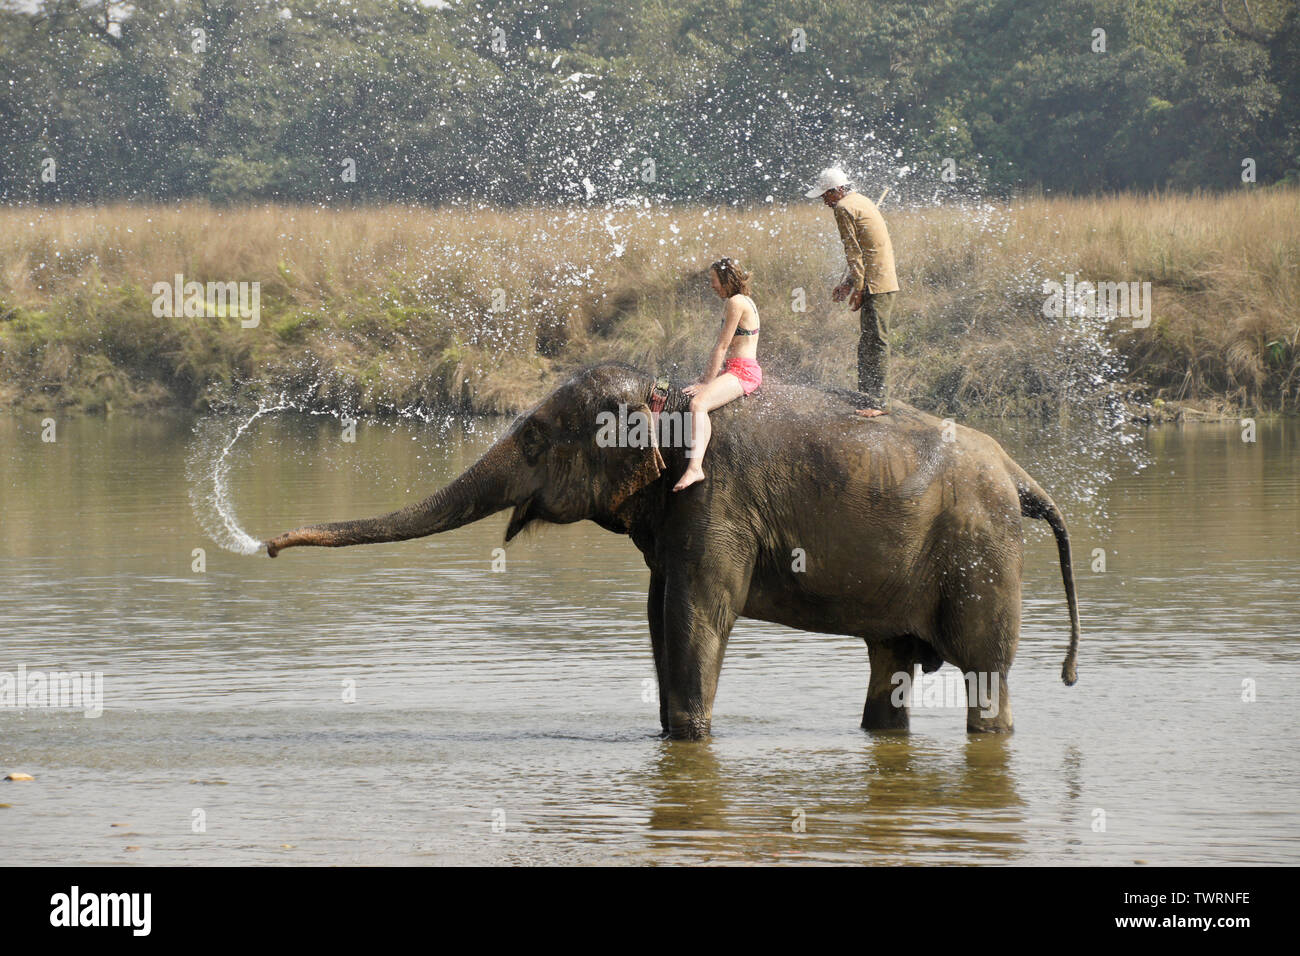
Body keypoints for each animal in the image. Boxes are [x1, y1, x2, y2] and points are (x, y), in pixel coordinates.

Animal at [265, 362, 1080, 740]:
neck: (670, 397)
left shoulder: (714, 498)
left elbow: (698, 614)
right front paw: (665, 736)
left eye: (534, 436)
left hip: (981, 556)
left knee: (983, 671)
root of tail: (1022, 477)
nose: (269, 545)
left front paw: (689, 740)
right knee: (891, 668)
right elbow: (658, 615)